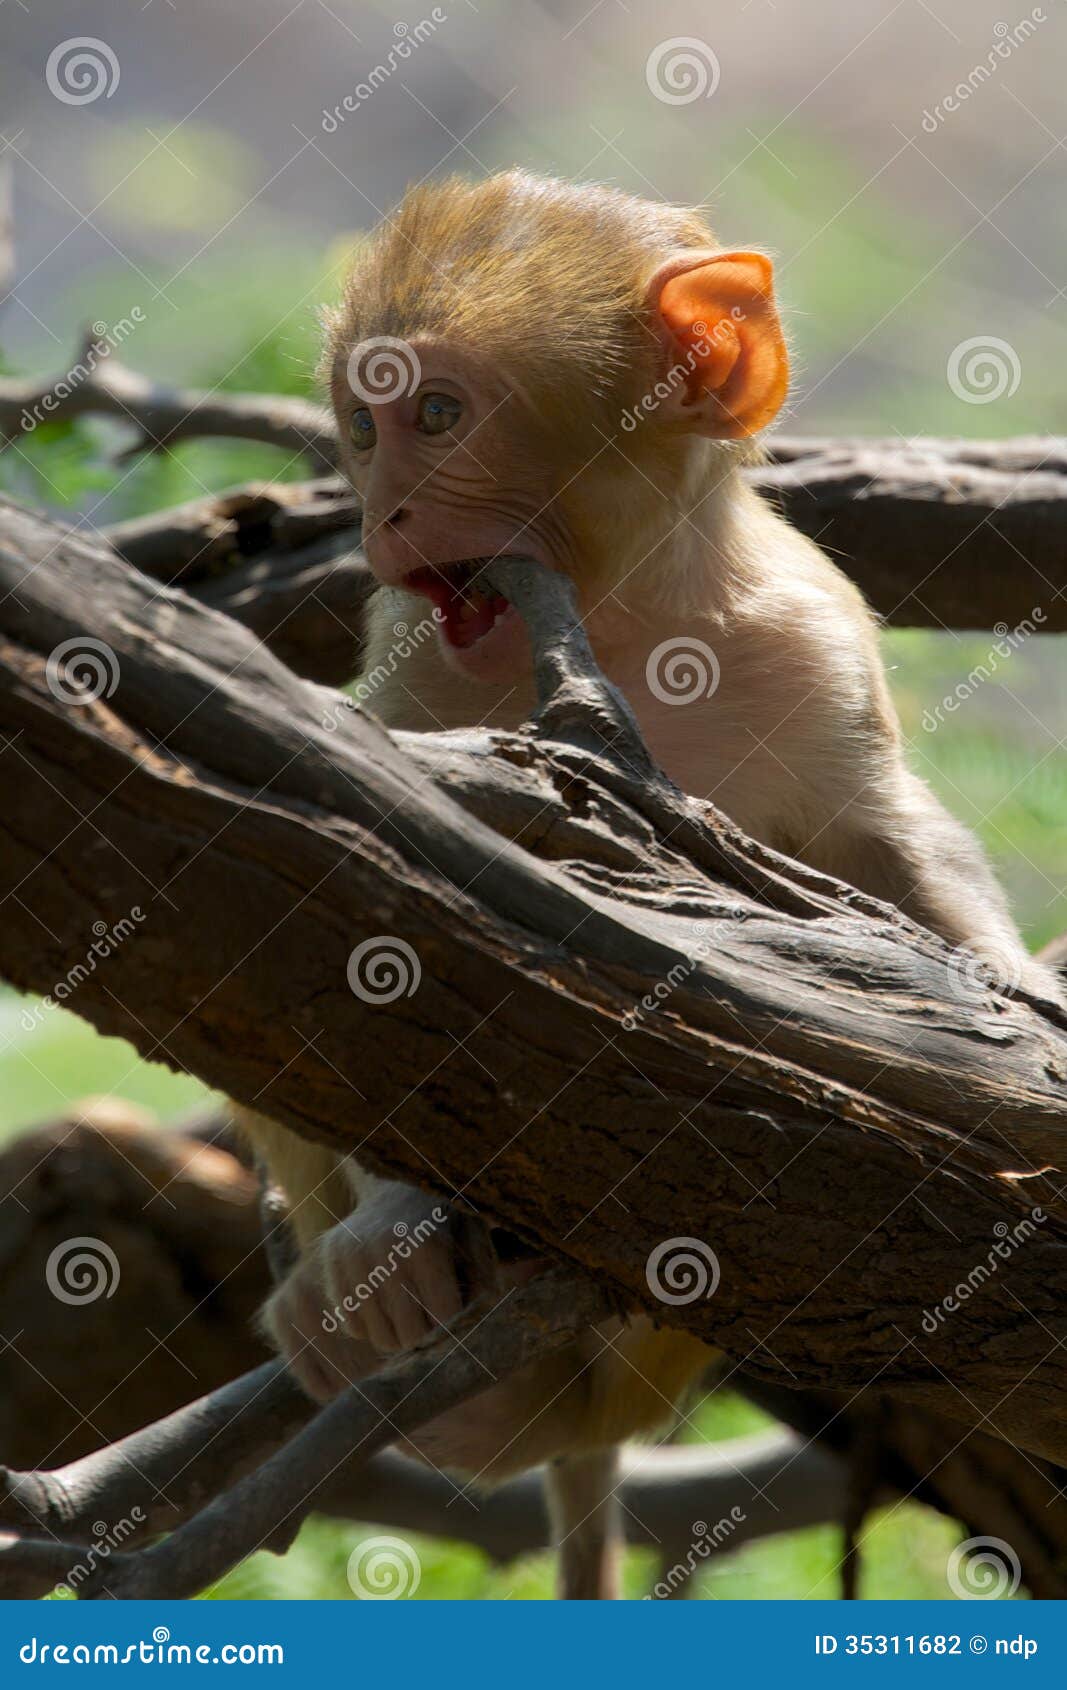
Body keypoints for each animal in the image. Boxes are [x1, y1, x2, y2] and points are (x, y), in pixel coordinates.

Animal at [241, 170, 1061, 1599]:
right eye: (358, 422)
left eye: (436, 415)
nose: (380, 513)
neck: (620, 630)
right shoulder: (411, 669)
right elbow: (355, 924)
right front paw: (393, 1238)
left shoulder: (810, 642)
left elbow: (895, 853)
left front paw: (1013, 998)